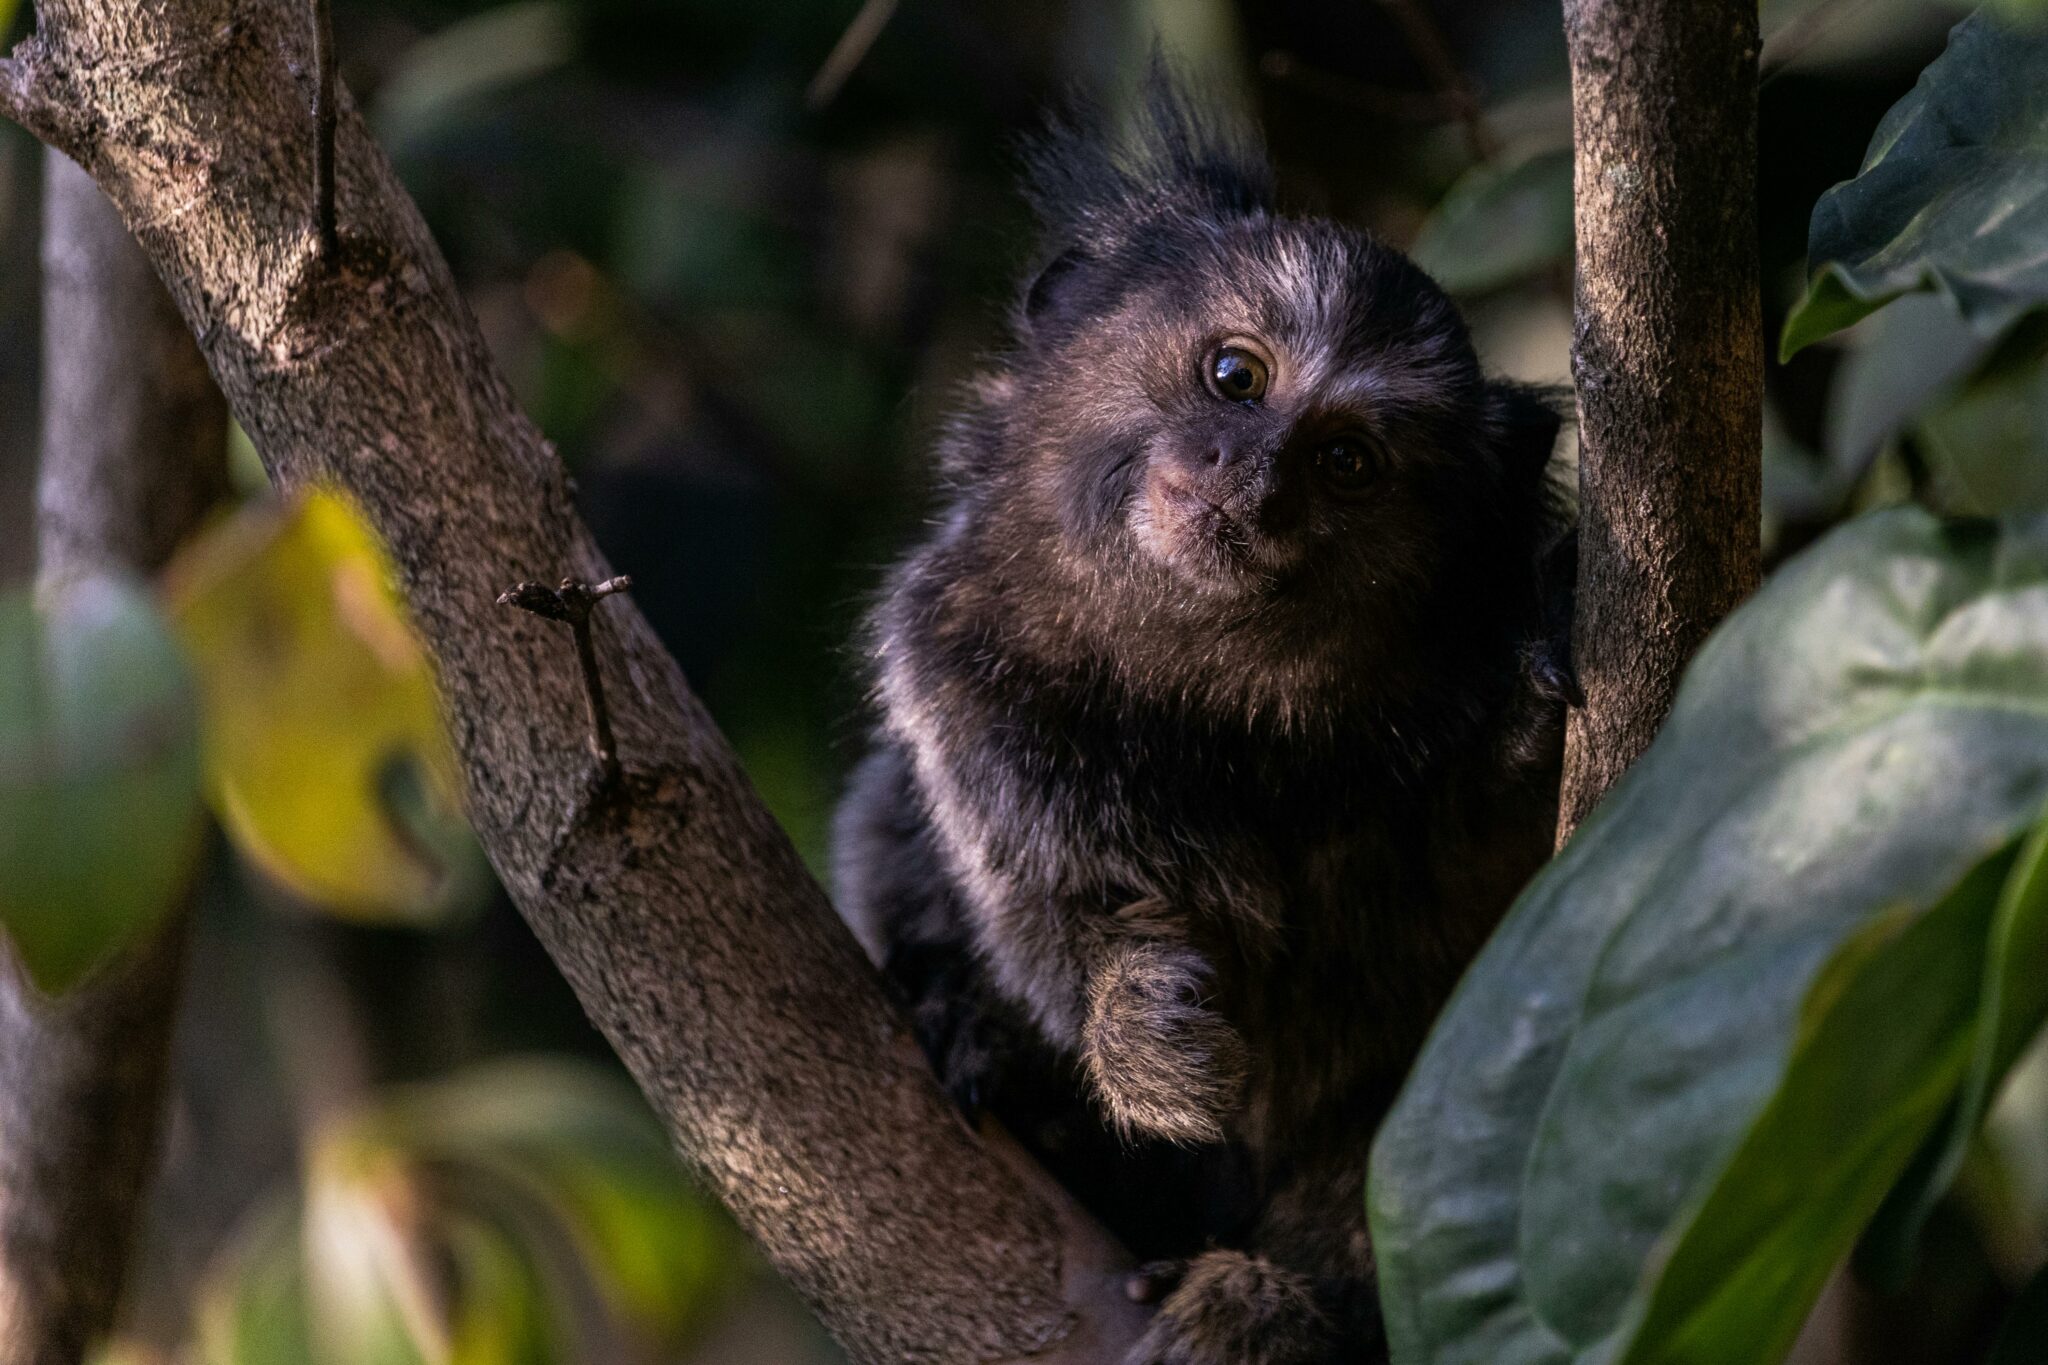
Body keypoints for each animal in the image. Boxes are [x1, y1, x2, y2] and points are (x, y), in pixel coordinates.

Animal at [831, 77, 1572, 1365]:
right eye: (1234, 376)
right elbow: (1055, 923)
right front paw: (1141, 1023)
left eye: (1346, 461)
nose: (1254, 478)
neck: (1211, 712)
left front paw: (1529, 713)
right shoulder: (958, 679)